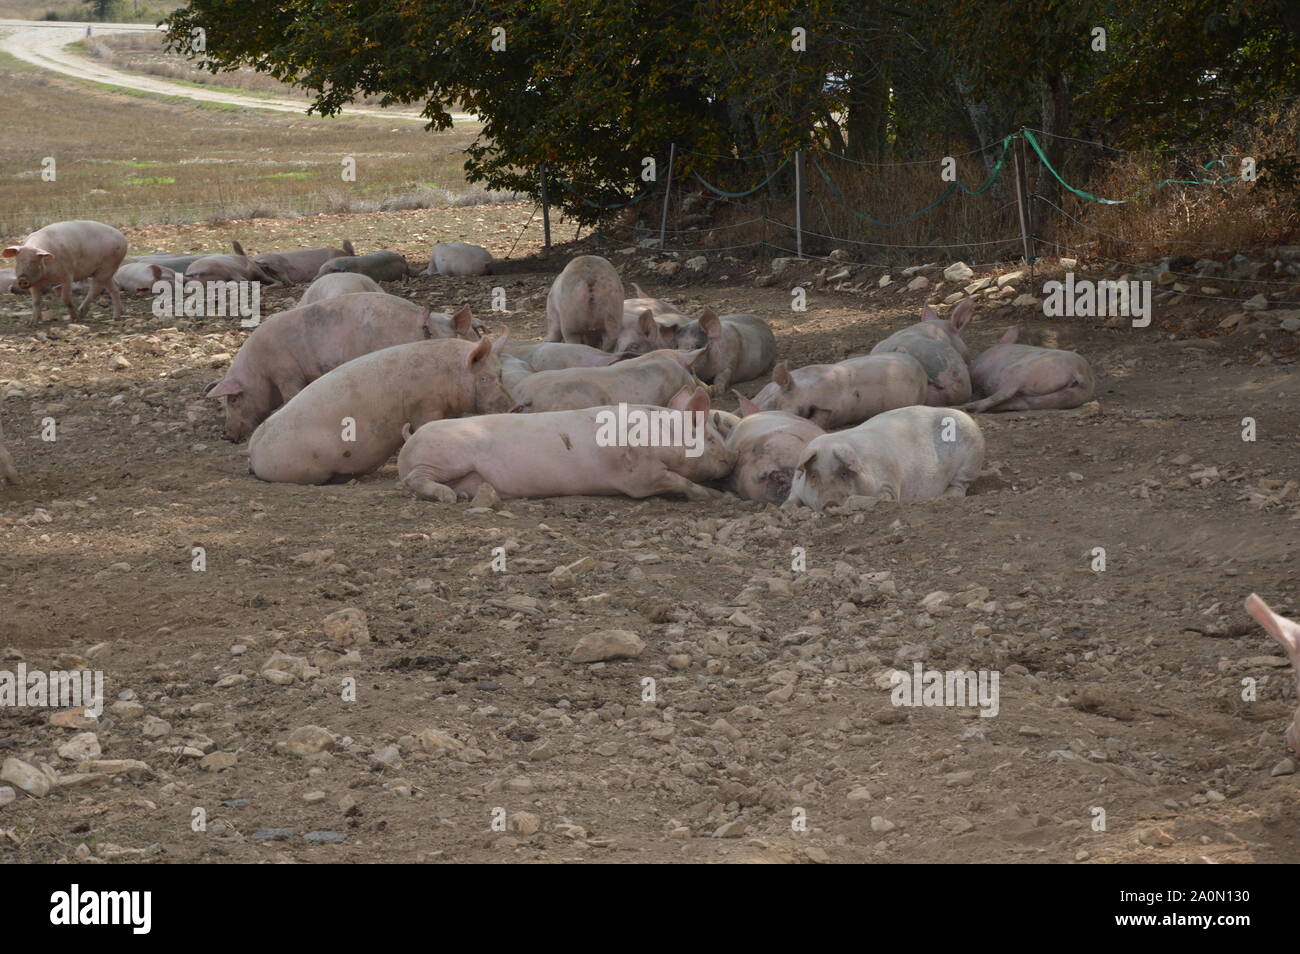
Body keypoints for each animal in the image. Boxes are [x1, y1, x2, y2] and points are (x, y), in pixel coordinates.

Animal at [206, 293, 471, 441]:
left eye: (233, 400)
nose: (227, 436)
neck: (259, 369)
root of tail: (420, 320)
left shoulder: (285, 370)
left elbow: (292, 394)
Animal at [247, 334, 515, 485]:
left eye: (501, 373)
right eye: (485, 378)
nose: (513, 406)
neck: (448, 374)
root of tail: (252, 450)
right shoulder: (424, 405)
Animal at [397, 386, 734, 503]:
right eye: (711, 439)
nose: (732, 458)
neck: (662, 437)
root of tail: (410, 439)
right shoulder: (638, 477)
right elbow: (678, 481)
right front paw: (717, 497)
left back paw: (462, 495)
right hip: (446, 457)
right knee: (414, 478)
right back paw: (448, 497)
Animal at [785, 406, 985, 511]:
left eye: (843, 473)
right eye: (813, 476)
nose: (830, 503)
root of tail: (967, 416)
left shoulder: (890, 482)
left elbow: (886, 496)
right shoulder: (796, 485)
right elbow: (791, 499)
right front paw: (785, 508)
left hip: (970, 461)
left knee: (959, 488)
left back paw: (941, 498)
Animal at [963, 327, 1096, 412]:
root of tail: (1080, 372)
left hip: (1020, 374)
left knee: (1003, 394)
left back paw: (968, 407)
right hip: (1054, 399)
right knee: (1015, 402)